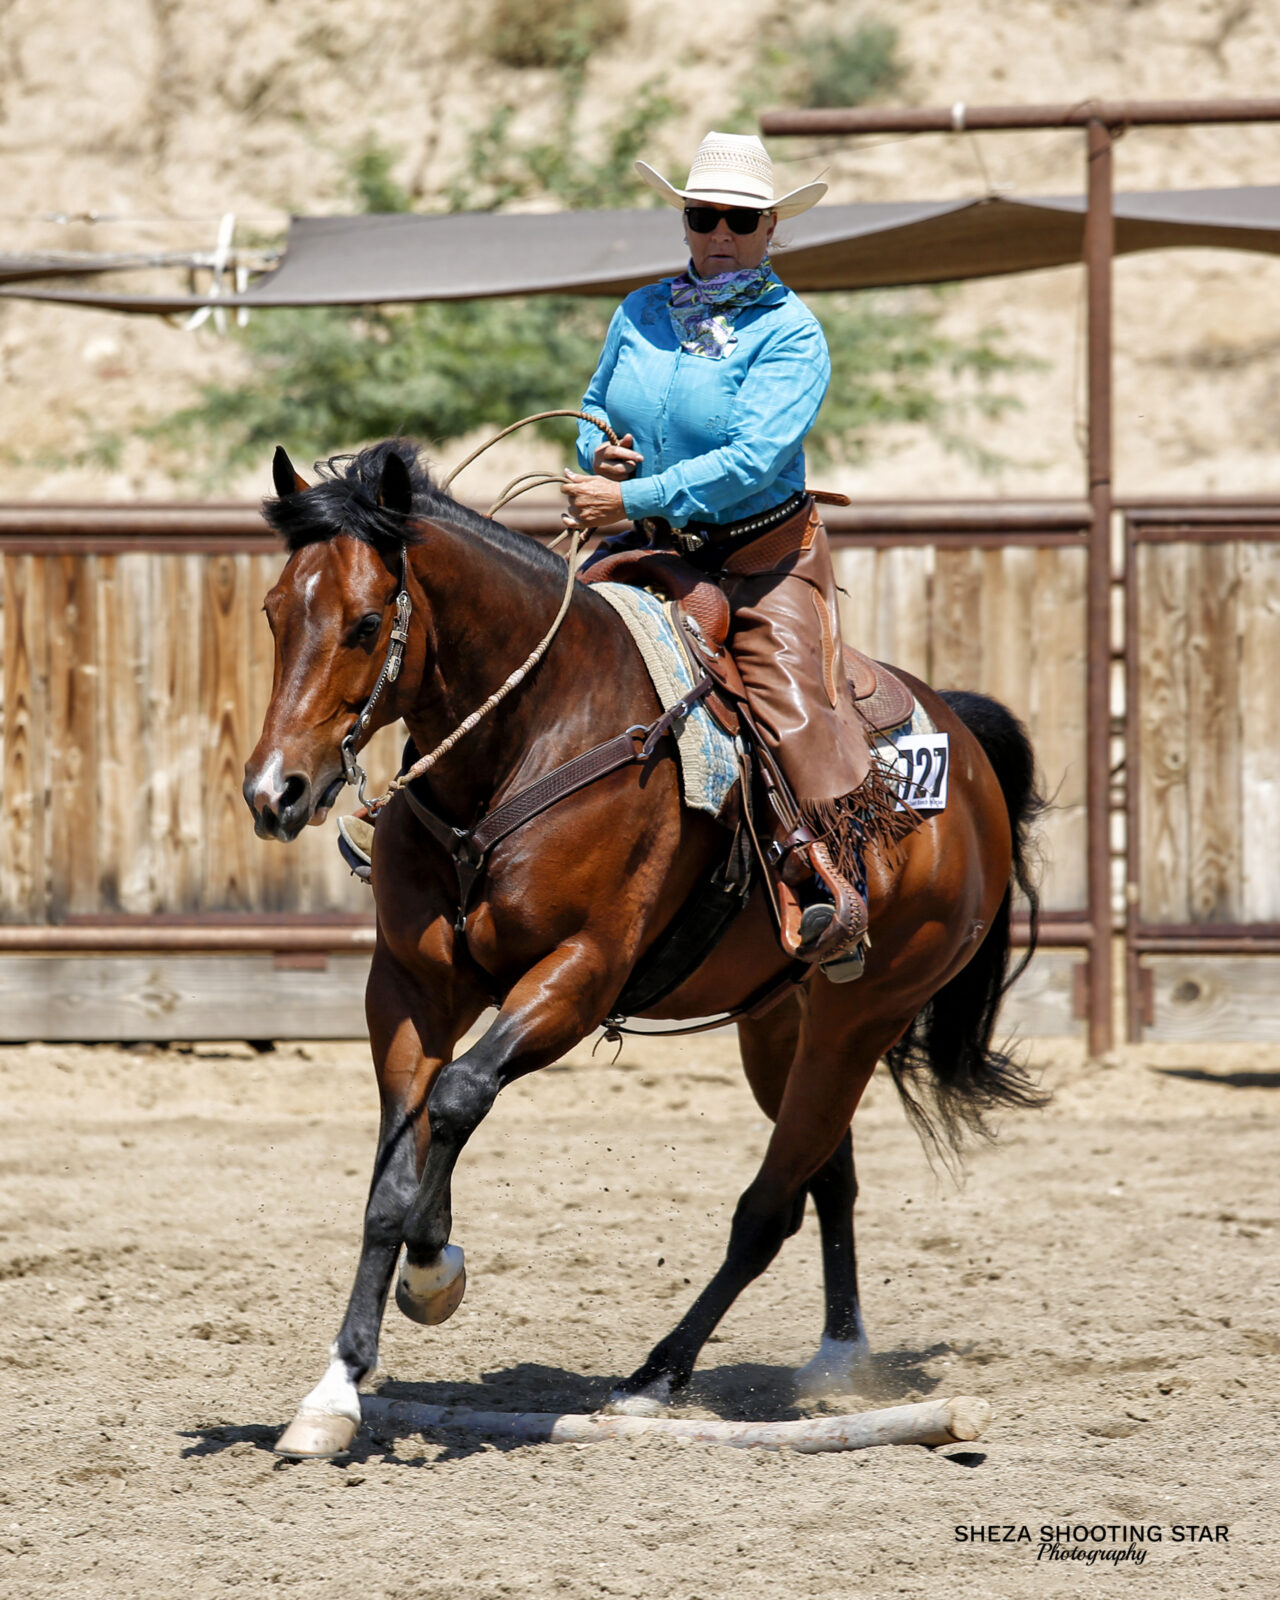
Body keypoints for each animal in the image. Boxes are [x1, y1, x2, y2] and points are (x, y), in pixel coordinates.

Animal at [243, 439, 1044, 1458]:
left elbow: (459, 1096)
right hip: (781, 1021)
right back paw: (836, 1355)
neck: (532, 735)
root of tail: (968, 759)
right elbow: (396, 1160)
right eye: (276, 611)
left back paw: (659, 1376)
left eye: (365, 621)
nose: (274, 793)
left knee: (769, 1206)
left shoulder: (579, 975)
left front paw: (433, 1270)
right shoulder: (409, 987)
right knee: (828, 1177)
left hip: (864, 1015)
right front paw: (337, 1388)